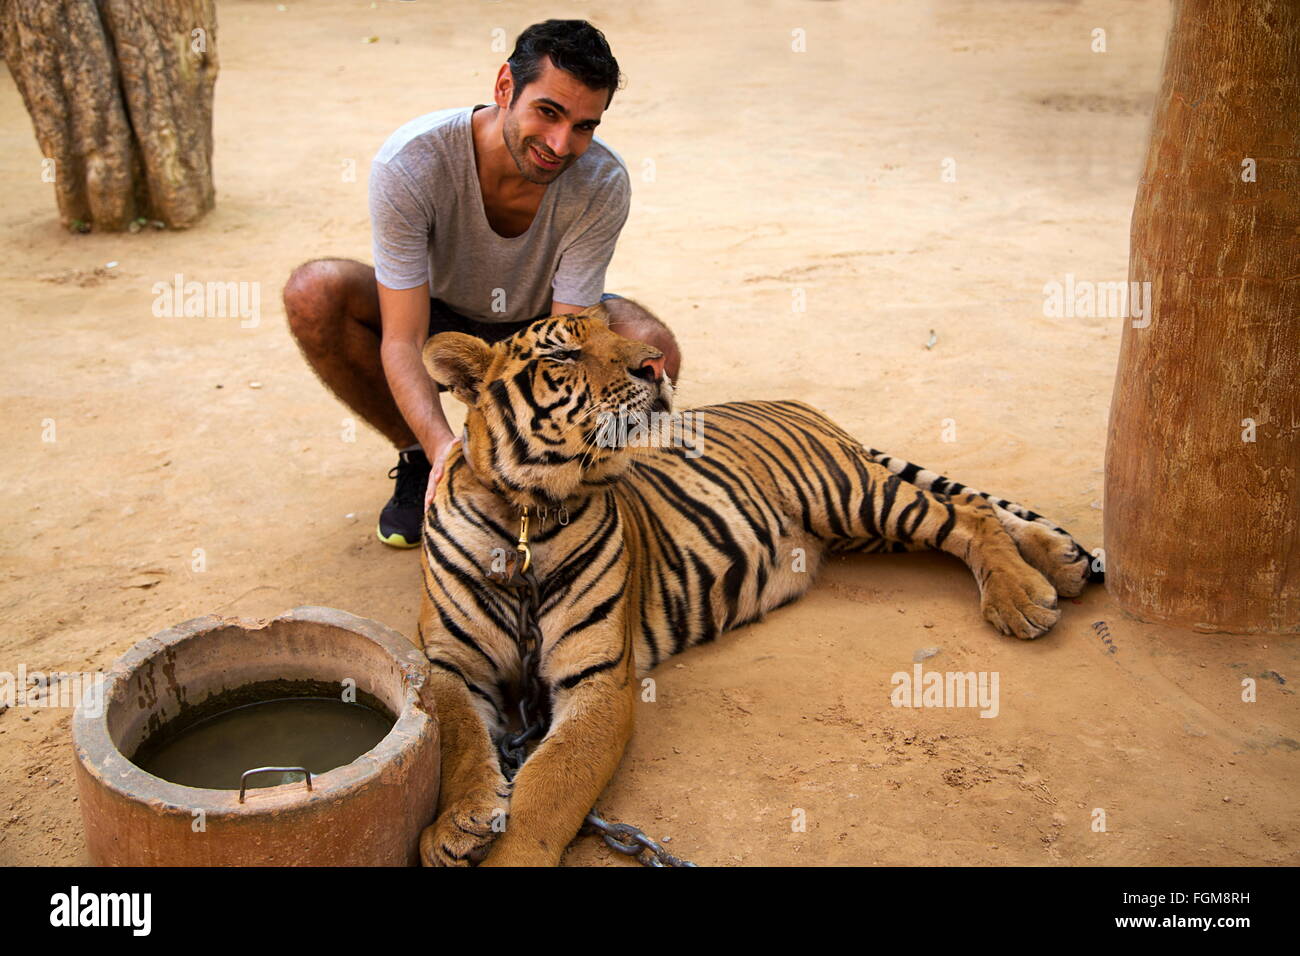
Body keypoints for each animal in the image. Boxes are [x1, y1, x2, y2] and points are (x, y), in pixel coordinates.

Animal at [414, 300, 1099, 867]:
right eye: (562, 355)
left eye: (612, 335)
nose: (654, 364)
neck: (526, 514)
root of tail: (797, 404)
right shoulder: (448, 663)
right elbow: (457, 739)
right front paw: (457, 824)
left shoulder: (598, 678)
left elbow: (548, 787)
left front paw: (502, 845)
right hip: (857, 525)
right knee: (974, 509)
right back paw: (1063, 564)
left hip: (852, 498)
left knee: (969, 513)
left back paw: (1024, 598)